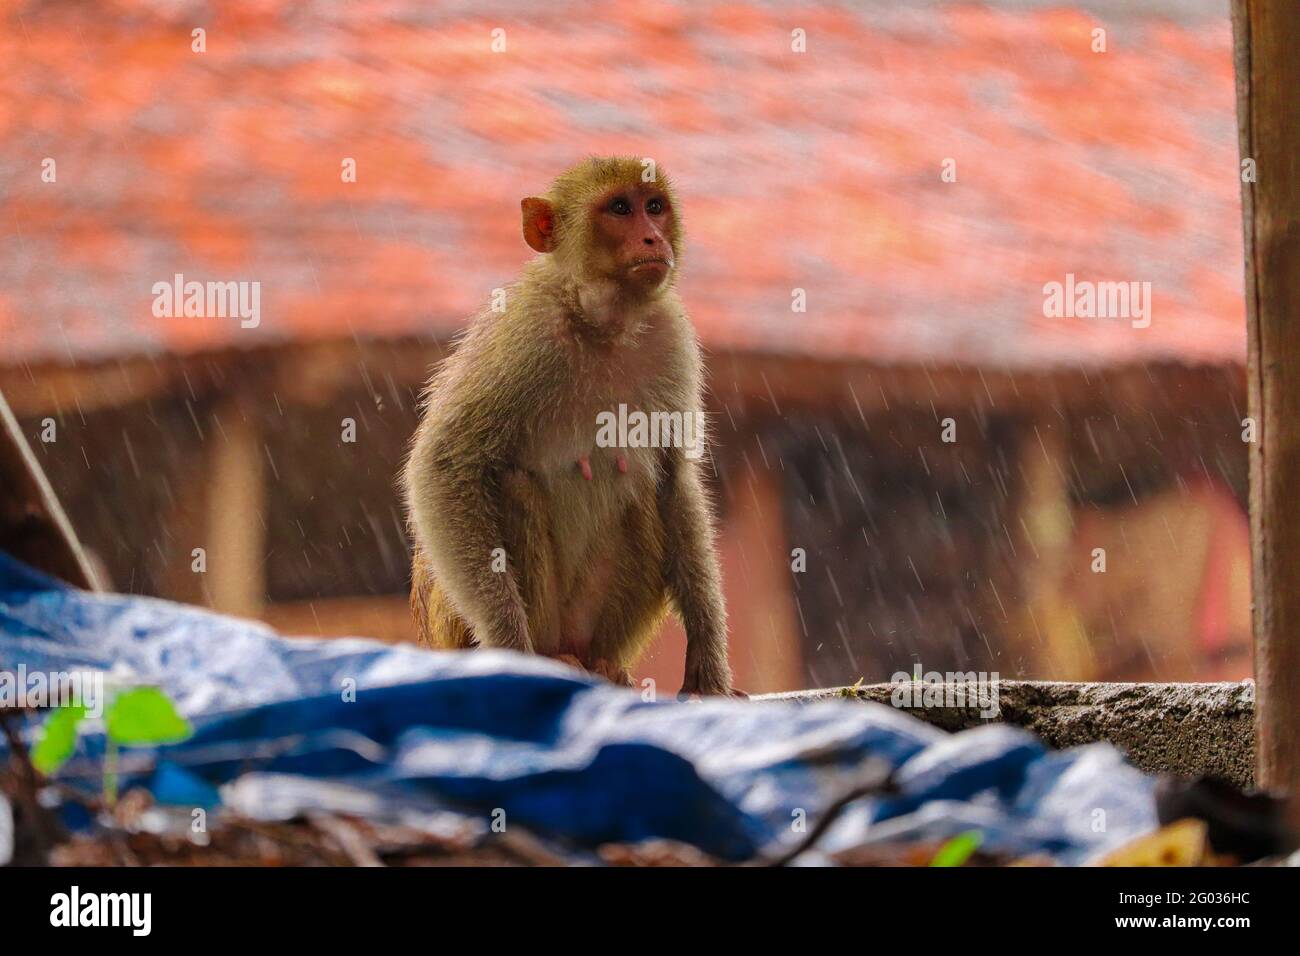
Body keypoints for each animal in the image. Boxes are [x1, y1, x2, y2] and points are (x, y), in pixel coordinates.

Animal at [403, 157, 739, 696]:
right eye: (619, 209)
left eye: (654, 207)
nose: (653, 238)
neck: (601, 321)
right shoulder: (523, 330)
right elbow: (444, 463)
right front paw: (510, 649)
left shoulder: (671, 335)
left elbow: (674, 479)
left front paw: (708, 662)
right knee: (510, 485)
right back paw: (544, 656)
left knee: (644, 493)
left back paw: (602, 667)